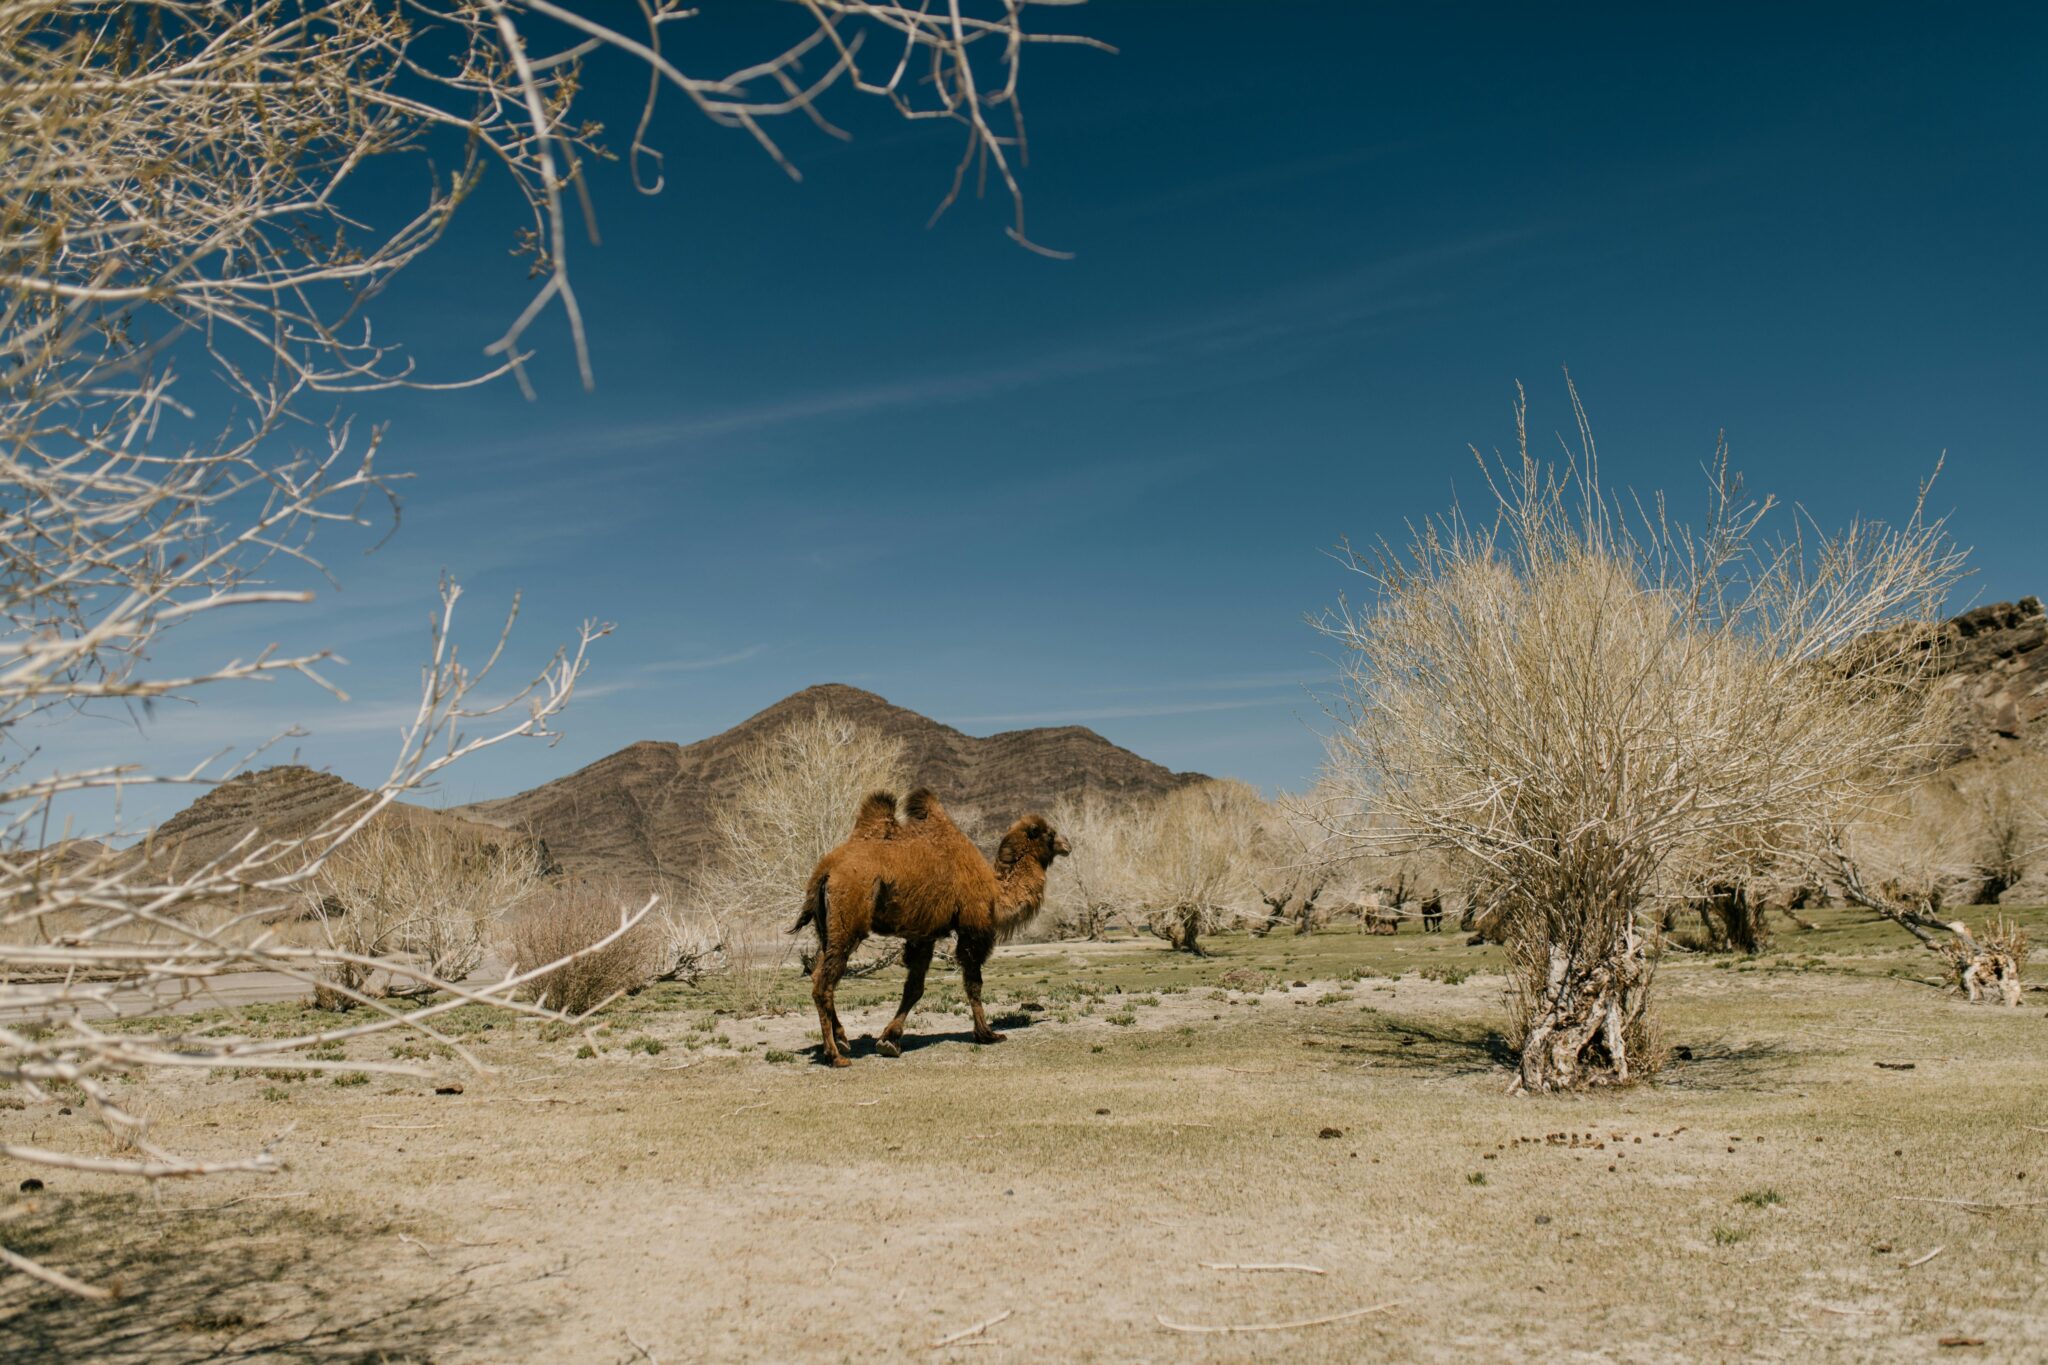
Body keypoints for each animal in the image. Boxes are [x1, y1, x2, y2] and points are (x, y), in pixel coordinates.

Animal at [792, 788, 1068, 1066]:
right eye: (1050, 833)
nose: (1066, 845)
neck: (996, 891)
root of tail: (825, 872)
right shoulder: (972, 927)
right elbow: (973, 982)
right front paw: (987, 1034)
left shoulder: (924, 934)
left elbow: (914, 987)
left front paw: (889, 1040)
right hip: (848, 923)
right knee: (824, 983)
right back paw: (835, 1055)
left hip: (825, 928)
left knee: (819, 973)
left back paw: (842, 1039)